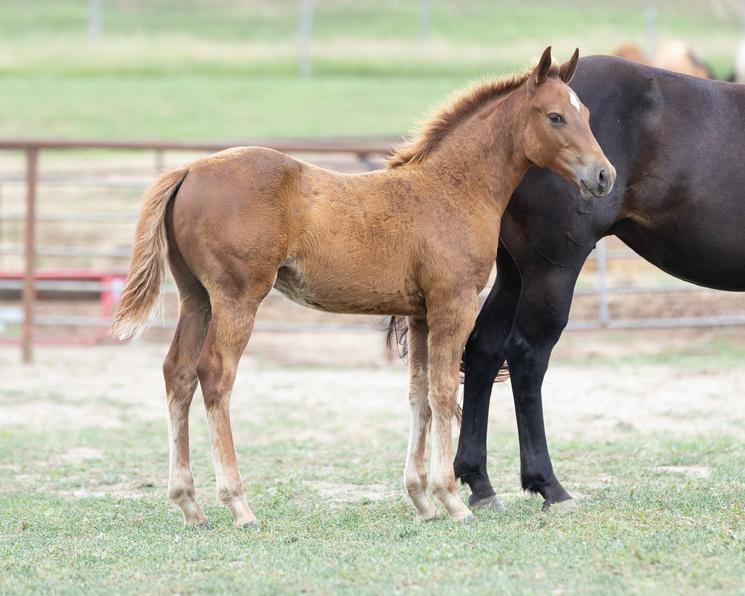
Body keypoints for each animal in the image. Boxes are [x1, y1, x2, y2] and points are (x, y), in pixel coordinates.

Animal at [113, 47, 615, 527]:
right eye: (555, 116)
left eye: (588, 113)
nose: (604, 176)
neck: (453, 189)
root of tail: (191, 169)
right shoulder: (453, 305)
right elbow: (444, 391)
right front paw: (452, 500)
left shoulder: (420, 314)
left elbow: (418, 395)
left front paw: (421, 500)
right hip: (237, 298)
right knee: (215, 375)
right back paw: (239, 506)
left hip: (196, 298)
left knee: (177, 373)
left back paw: (189, 505)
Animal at [451, 55, 745, 513]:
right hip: (553, 270)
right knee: (527, 356)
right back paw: (550, 487)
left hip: (516, 272)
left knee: (484, 348)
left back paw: (480, 484)